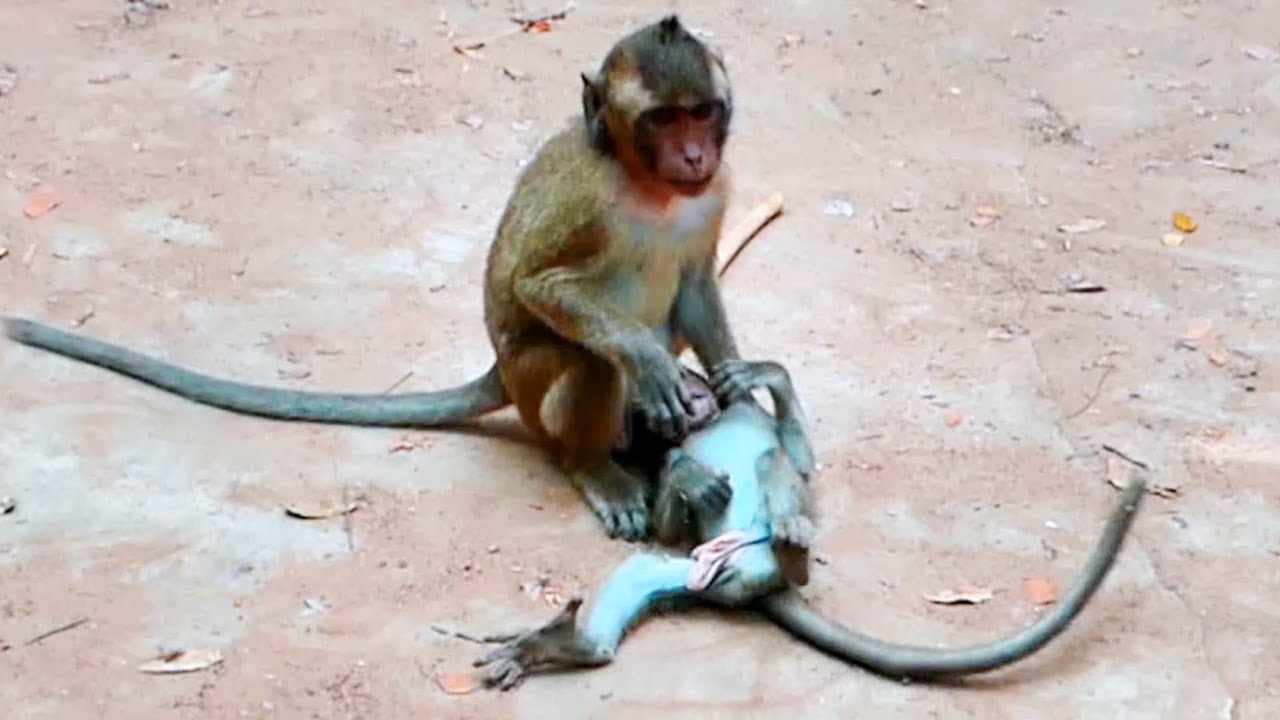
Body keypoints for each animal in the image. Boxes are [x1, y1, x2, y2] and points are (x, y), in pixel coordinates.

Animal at [2, 15, 754, 542]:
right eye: (662, 118)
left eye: (702, 111)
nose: (693, 153)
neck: (649, 187)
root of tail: (499, 377)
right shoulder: (584, 200)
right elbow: (534, 286)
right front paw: (643, 357)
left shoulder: (716, 191)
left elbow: (695, 284)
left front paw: (735, 382)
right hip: (532, 386)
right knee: (582, 362)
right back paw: (595, 464)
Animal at [471, 359, 1148, 689]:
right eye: (652, 416)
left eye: (684, 392)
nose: (689, 406)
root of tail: (752, 579)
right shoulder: (662, 465)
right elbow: (668, 518)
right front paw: (690, 476)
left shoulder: (741, 413)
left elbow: (797, 458)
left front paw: (766, 374)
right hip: (702, 573)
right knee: (650, 566)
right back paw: (570, 643)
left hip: (732, 560)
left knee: (773, 463)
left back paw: (791, 541)